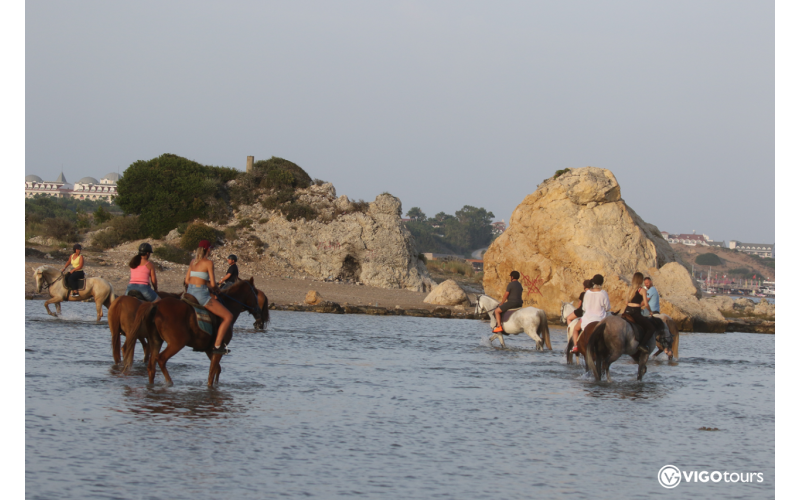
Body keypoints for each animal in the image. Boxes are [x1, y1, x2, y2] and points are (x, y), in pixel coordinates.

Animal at [122, 278, 261, 387]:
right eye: (256, 294)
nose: (258, 310)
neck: (228, 306)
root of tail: (157, 305)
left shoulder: (209, 350)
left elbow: (217, 370)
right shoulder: (218, 350)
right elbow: (212, 374)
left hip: (155, 341)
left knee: (151, 367)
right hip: (177, 343)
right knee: (161, 359)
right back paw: (169, 382)